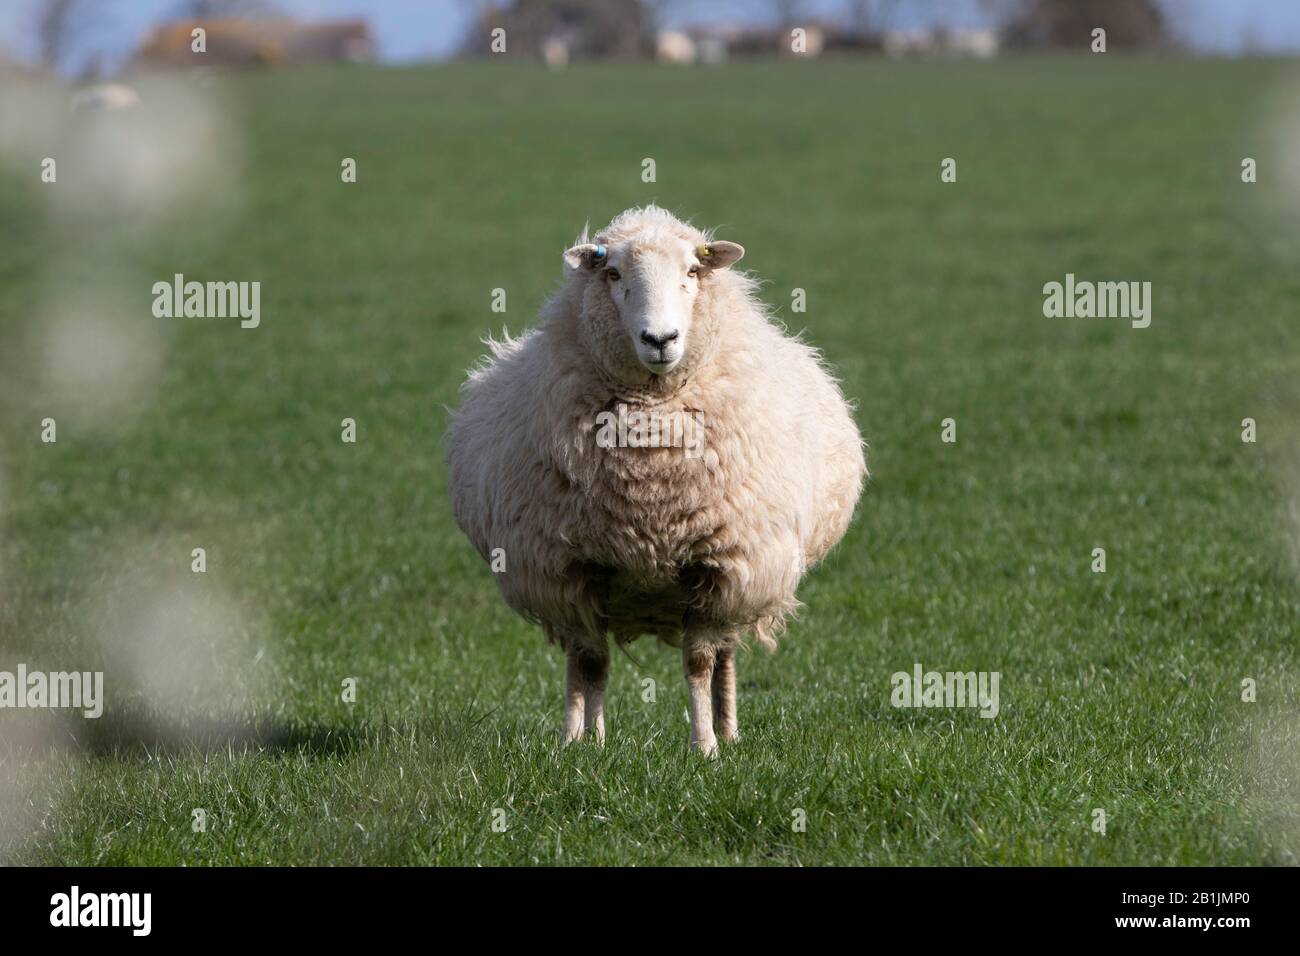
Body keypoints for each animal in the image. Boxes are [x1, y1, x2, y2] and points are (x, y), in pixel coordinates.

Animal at [447, 205, 866, 755]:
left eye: (692, 271)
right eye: (612, 273)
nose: (660, 340)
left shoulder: (721, 568)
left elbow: (700, 663)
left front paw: (705, 747)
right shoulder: (569, 571)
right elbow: (591, 663)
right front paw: (587, 746)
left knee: (725, 656)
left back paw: (729, 732)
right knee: (583, 663)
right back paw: (581, 735)